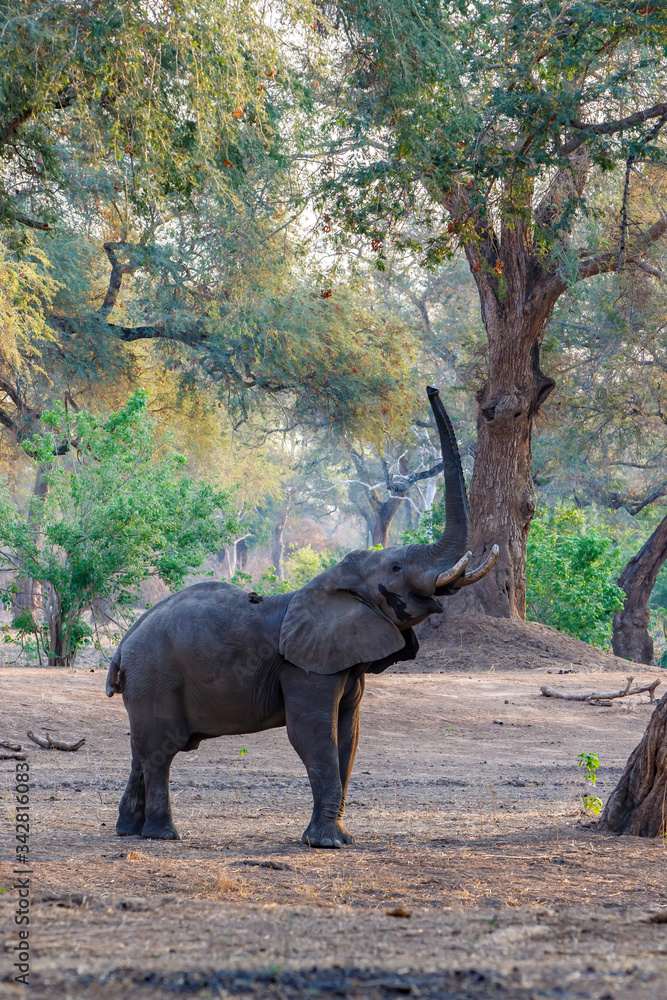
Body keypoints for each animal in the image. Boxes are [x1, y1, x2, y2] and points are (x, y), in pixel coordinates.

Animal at [106, 387, 498, 848]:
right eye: (397, 568)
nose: (432, 389)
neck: (329, 582)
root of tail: (121, 649)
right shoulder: (305, 667)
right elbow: (312, 735)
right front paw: (327, 844)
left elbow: (348, 736)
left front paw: (340, 839)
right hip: (156, 676)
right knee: (159, 752)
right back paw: (163, 835)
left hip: (146, 681)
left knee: (141, 748)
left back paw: (129, 831)